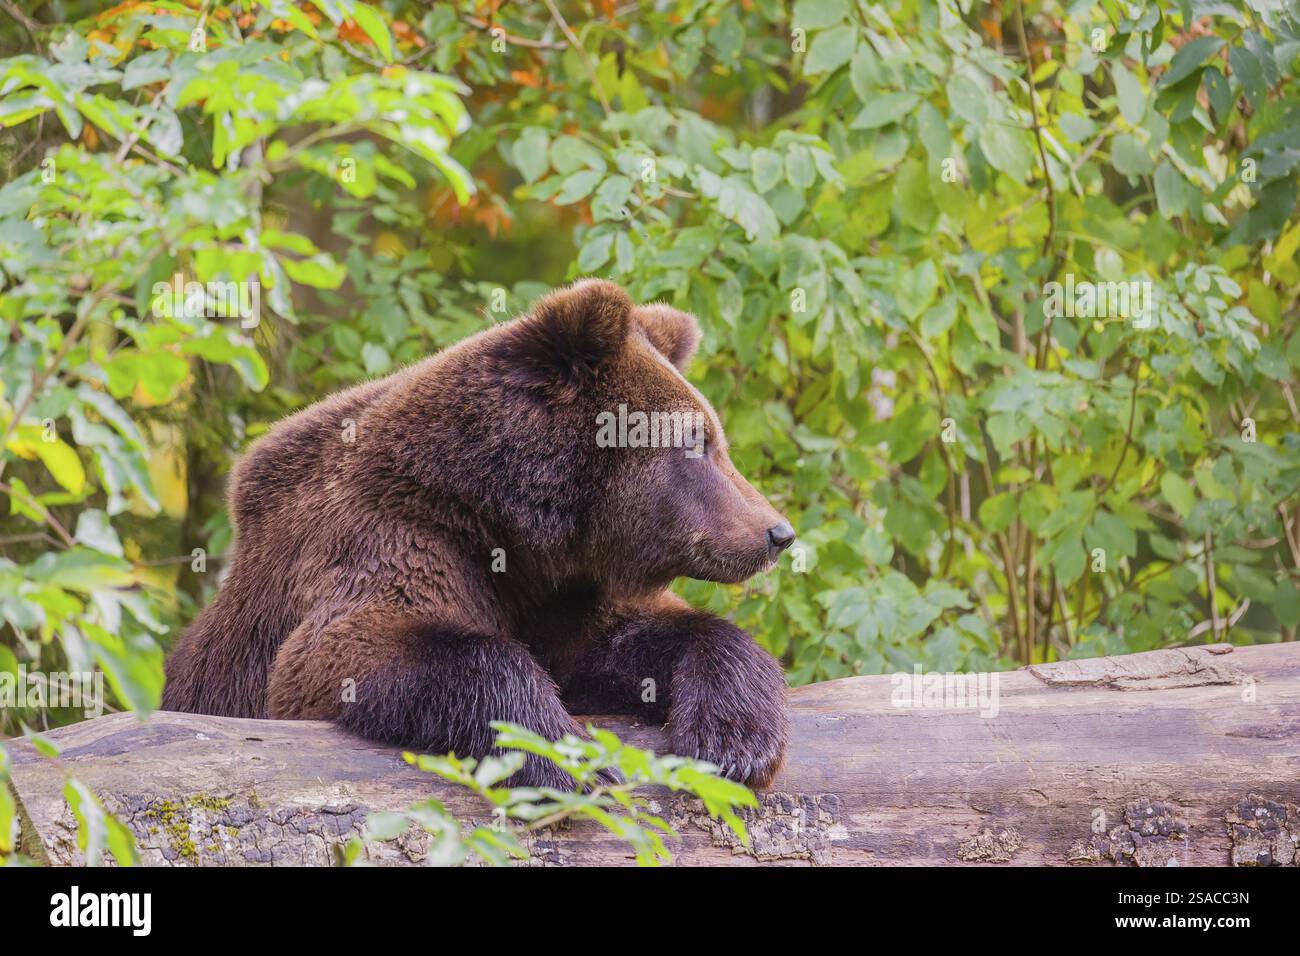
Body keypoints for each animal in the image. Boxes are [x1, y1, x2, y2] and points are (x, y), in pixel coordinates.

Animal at [162, 279, 794, 789]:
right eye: (696, 441)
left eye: (714, 436)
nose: (777, 533)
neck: (506, 524)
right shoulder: (390, 537)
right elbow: (350, 652)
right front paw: (572, 760)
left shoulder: (561, 595)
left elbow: (646, 638)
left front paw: (735, 742)